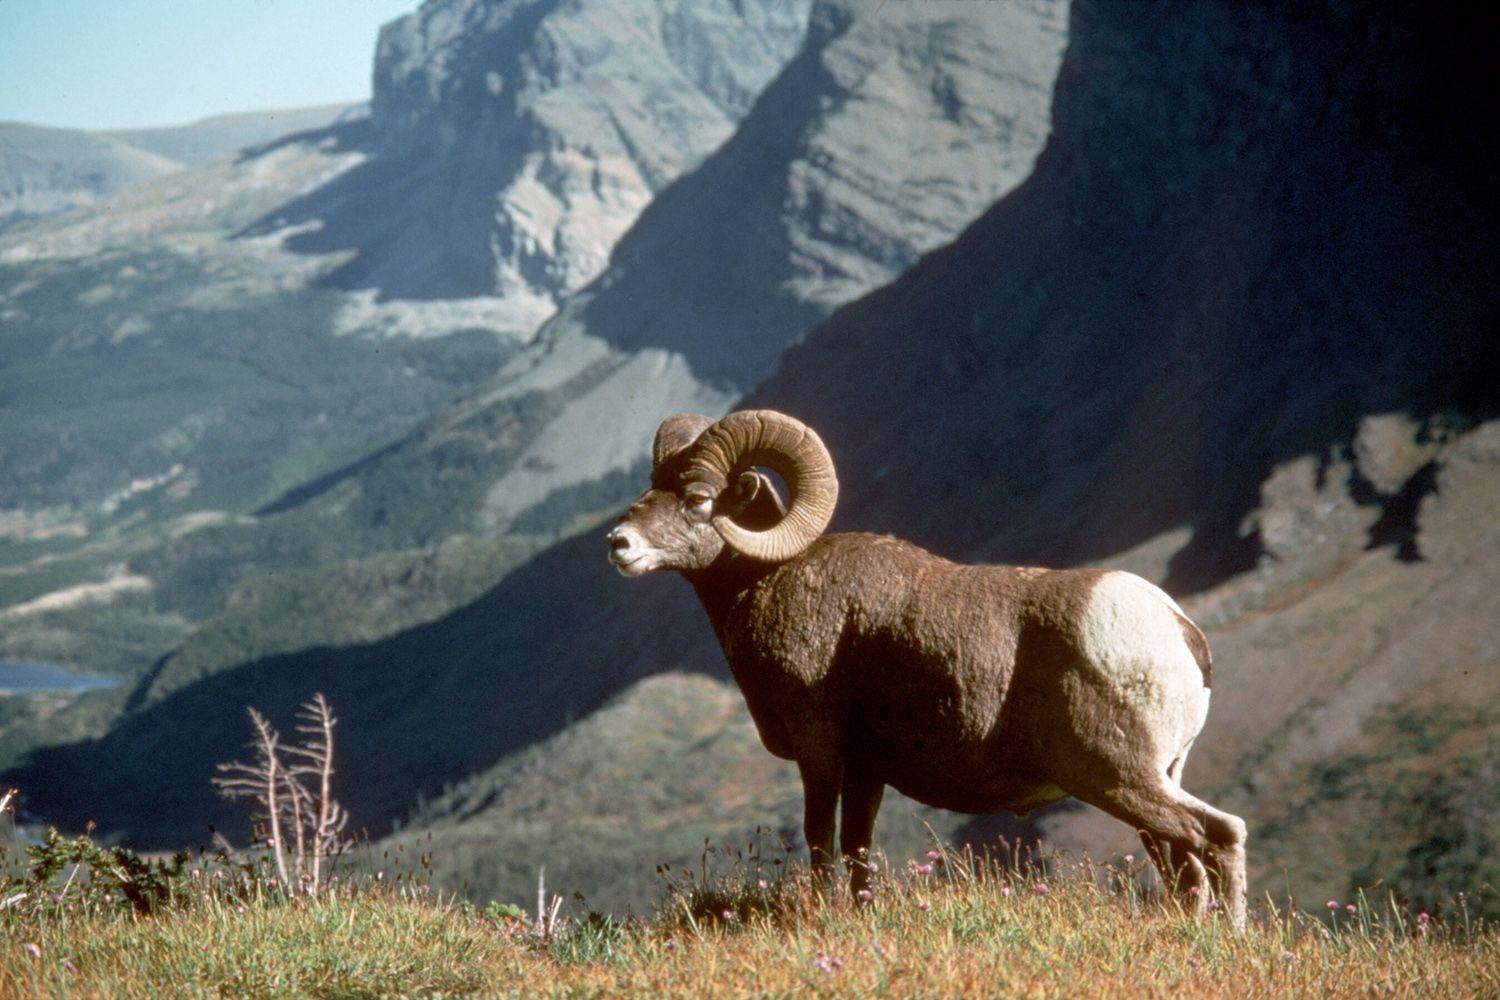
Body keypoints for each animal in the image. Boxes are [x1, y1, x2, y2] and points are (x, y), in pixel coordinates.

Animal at [606, 409, 1247, 926]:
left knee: (1217, 834)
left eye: (697, 498)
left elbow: (820, 840)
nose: (619, 544)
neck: (769, 581)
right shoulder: (867, 771)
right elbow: (857, 849)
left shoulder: (822, 753)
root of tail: (1181, 634)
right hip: (1152, 781)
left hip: (1118, 778)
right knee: (1187, 862)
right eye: (653, 487)